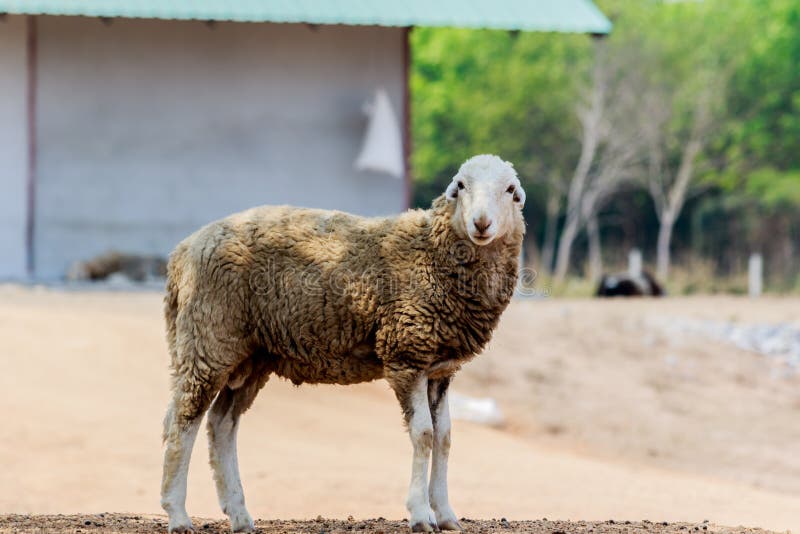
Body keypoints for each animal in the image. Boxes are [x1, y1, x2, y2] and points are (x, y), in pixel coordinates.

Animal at [160, 154, 526, 533]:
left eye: (509, 189)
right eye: (462, 185)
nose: (481, 223)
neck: (432, 253)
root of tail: (183, 251)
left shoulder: (440, 369)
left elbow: (445, 437)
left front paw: (446, 514)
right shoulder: (405, 355)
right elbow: (424, 434)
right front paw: (421, 514)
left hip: (251, 356)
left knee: (221, 423)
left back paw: (240, 514)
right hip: (207, 339)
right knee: (182, 421)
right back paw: (178, 514)